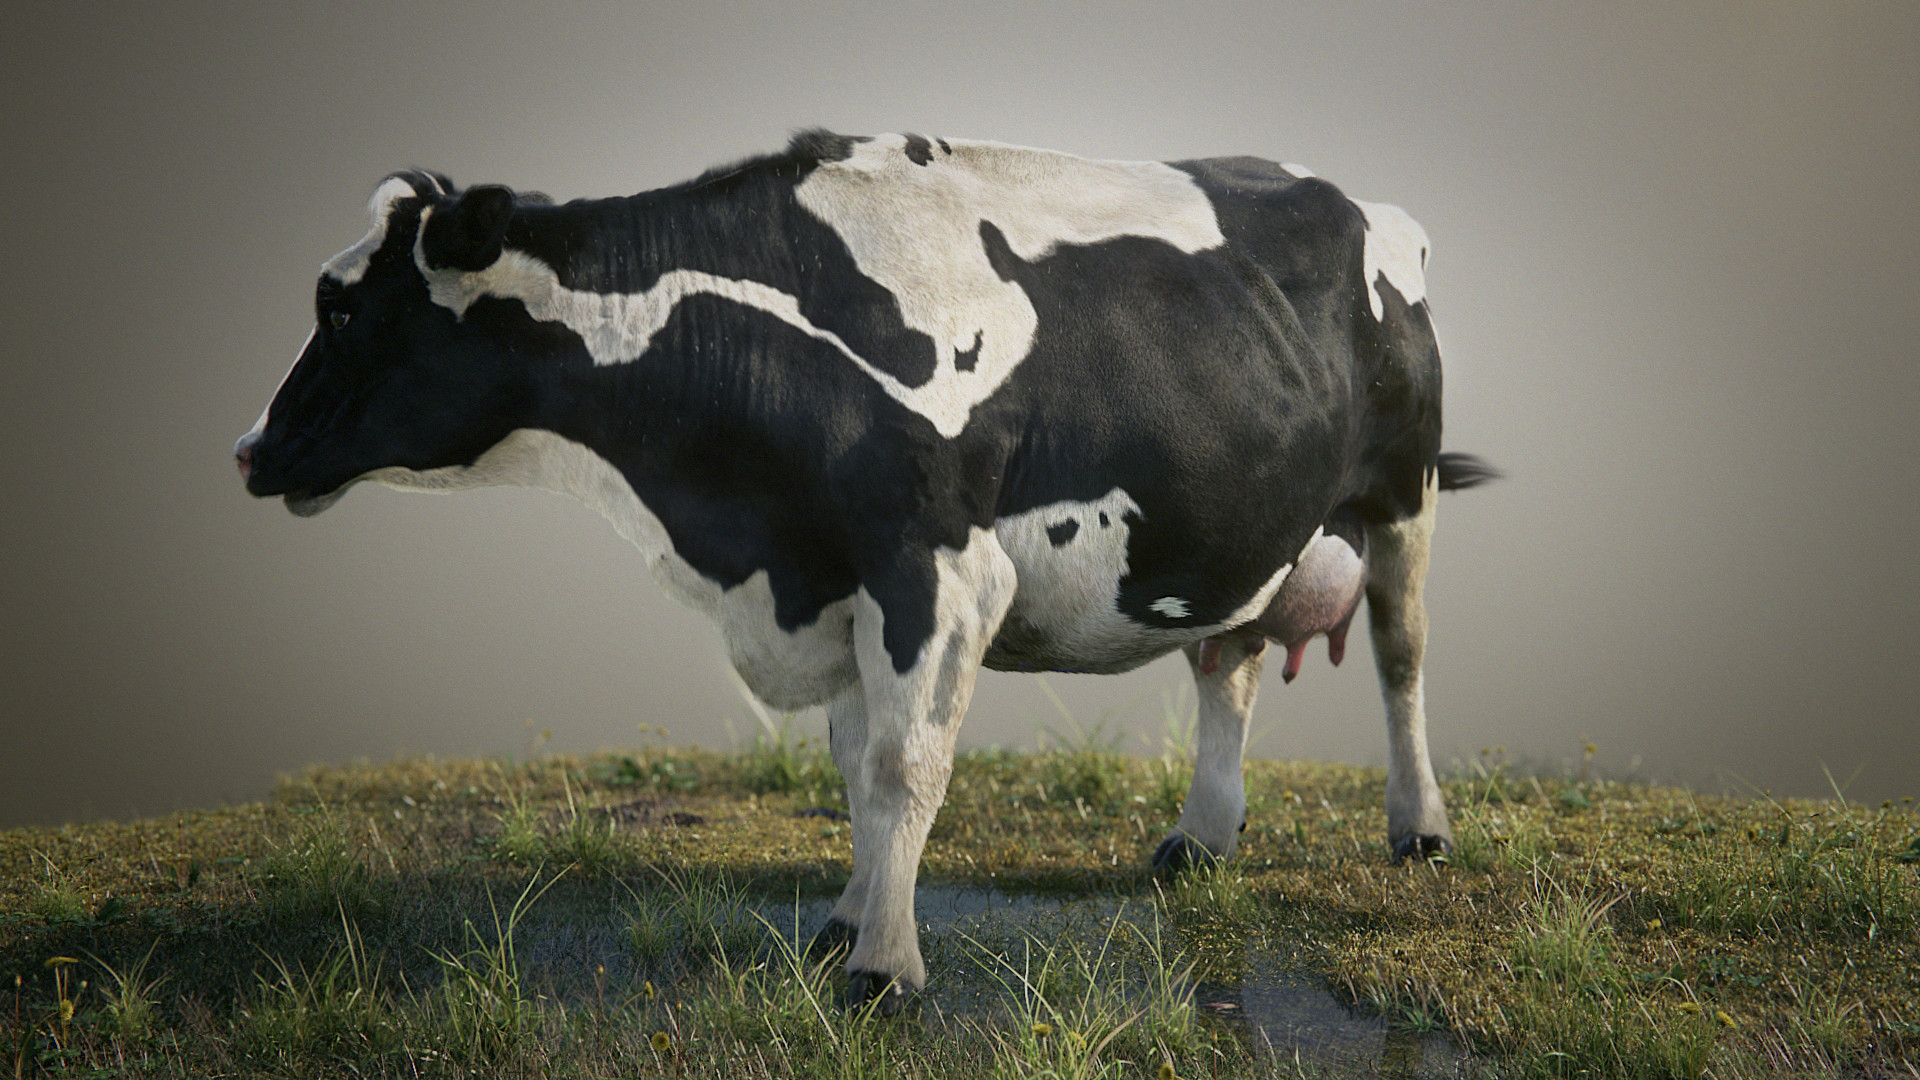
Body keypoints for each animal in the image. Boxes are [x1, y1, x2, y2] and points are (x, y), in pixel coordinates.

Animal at [235, 131, 1492, 1013]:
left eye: (339, 305)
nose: (250, 449)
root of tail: (1356, 197)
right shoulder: (830, 574)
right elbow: (849, 762)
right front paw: (845, 920)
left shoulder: (936, 568)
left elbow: (901, 766)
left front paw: (884, 970)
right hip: (1239, 521)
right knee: (1225, 661)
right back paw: (1202, 839)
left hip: (1401, 495)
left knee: (1403, 655)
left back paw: (1419, 829)